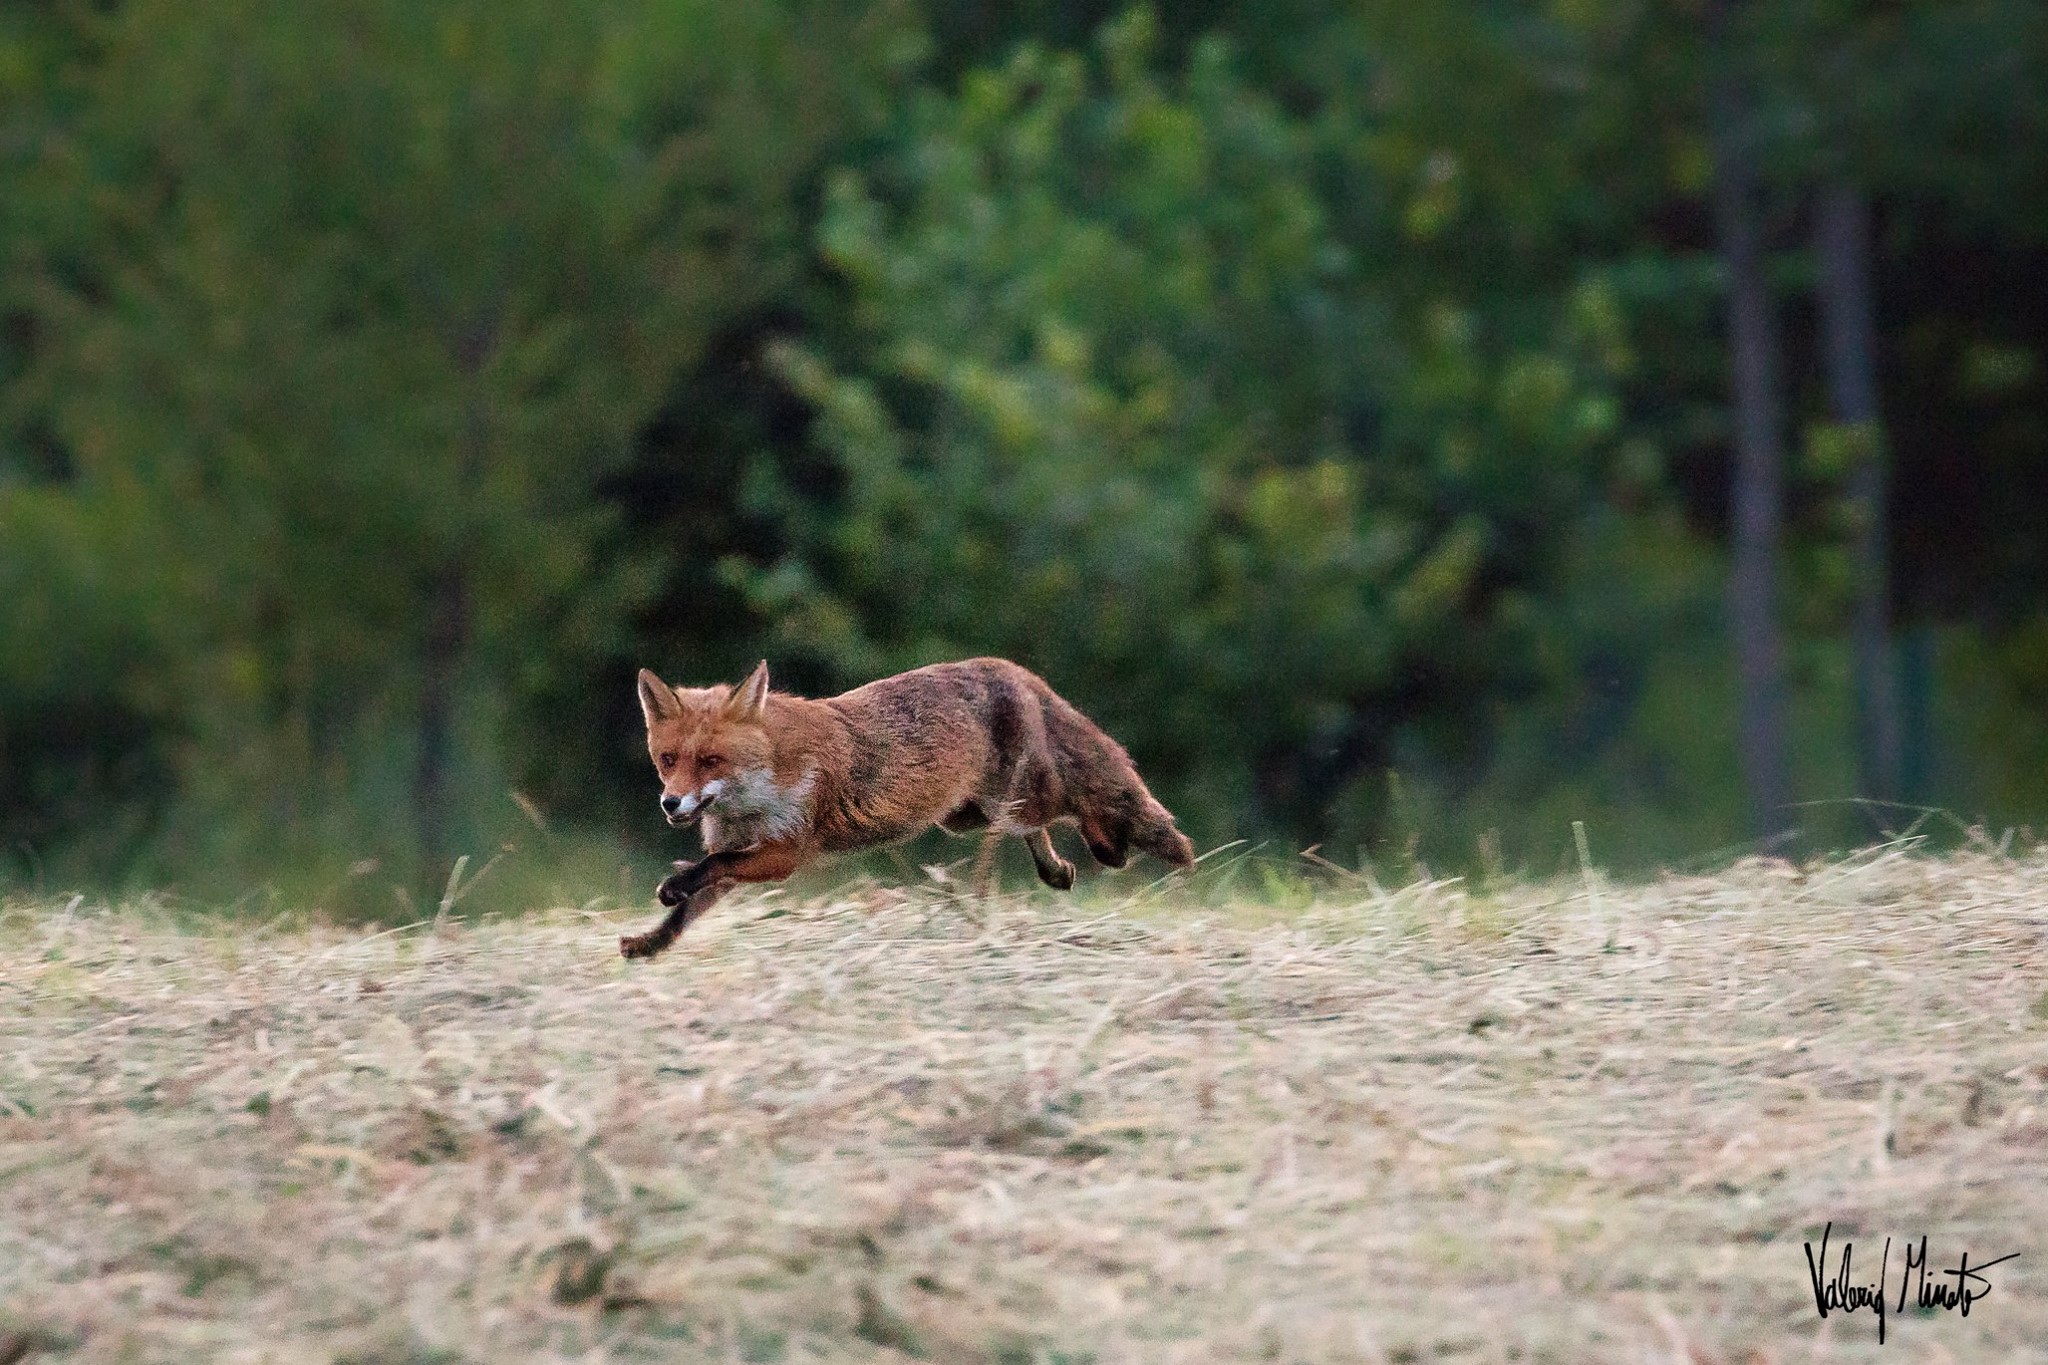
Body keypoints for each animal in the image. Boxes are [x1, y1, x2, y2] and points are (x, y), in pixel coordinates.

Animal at [619, 657, 1196, 959]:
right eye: (667, 760)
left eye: (711, 760)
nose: (670, 802)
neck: (755, 792)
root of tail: (1008, 668)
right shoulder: (740, 851)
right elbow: (690, 906)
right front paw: (649, 943)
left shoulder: (786, 851)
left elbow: (707, 868)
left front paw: (670, 888)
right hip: (964, 815)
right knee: (1033, 823)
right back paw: (1056, 870)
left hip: (1009, 800)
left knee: (1068, 809)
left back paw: (1105, 854)